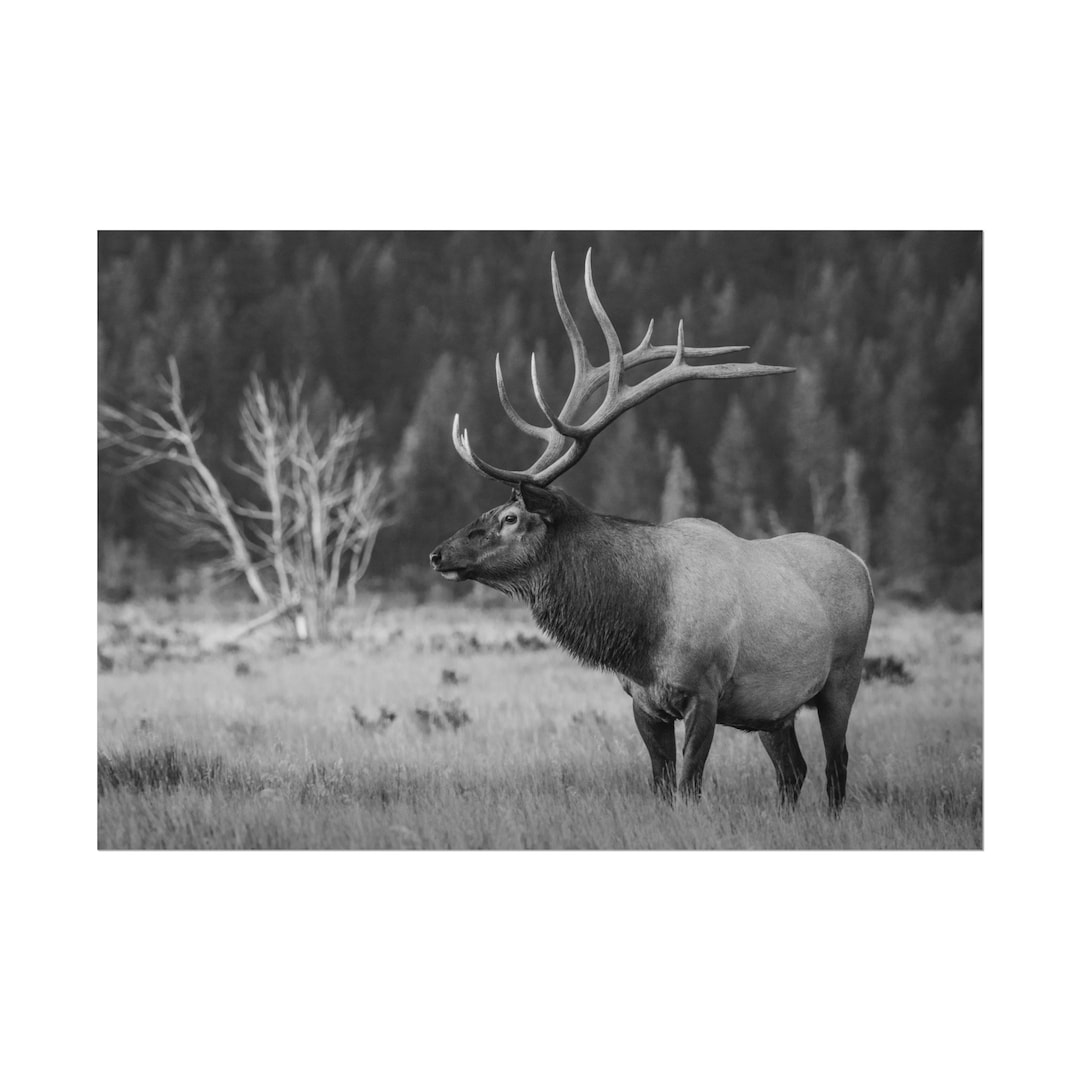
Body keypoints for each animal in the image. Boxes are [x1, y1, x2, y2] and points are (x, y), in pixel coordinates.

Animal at [429, 251, 874, 811]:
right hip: (775, 707)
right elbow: (662, 786)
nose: (438, 554)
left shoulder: (706, 691)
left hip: (842, 676)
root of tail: (862, 566)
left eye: (511, 518)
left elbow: (689, 784)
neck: (641, 631)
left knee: (837, 767)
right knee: (794, 771)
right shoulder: (642, 701)